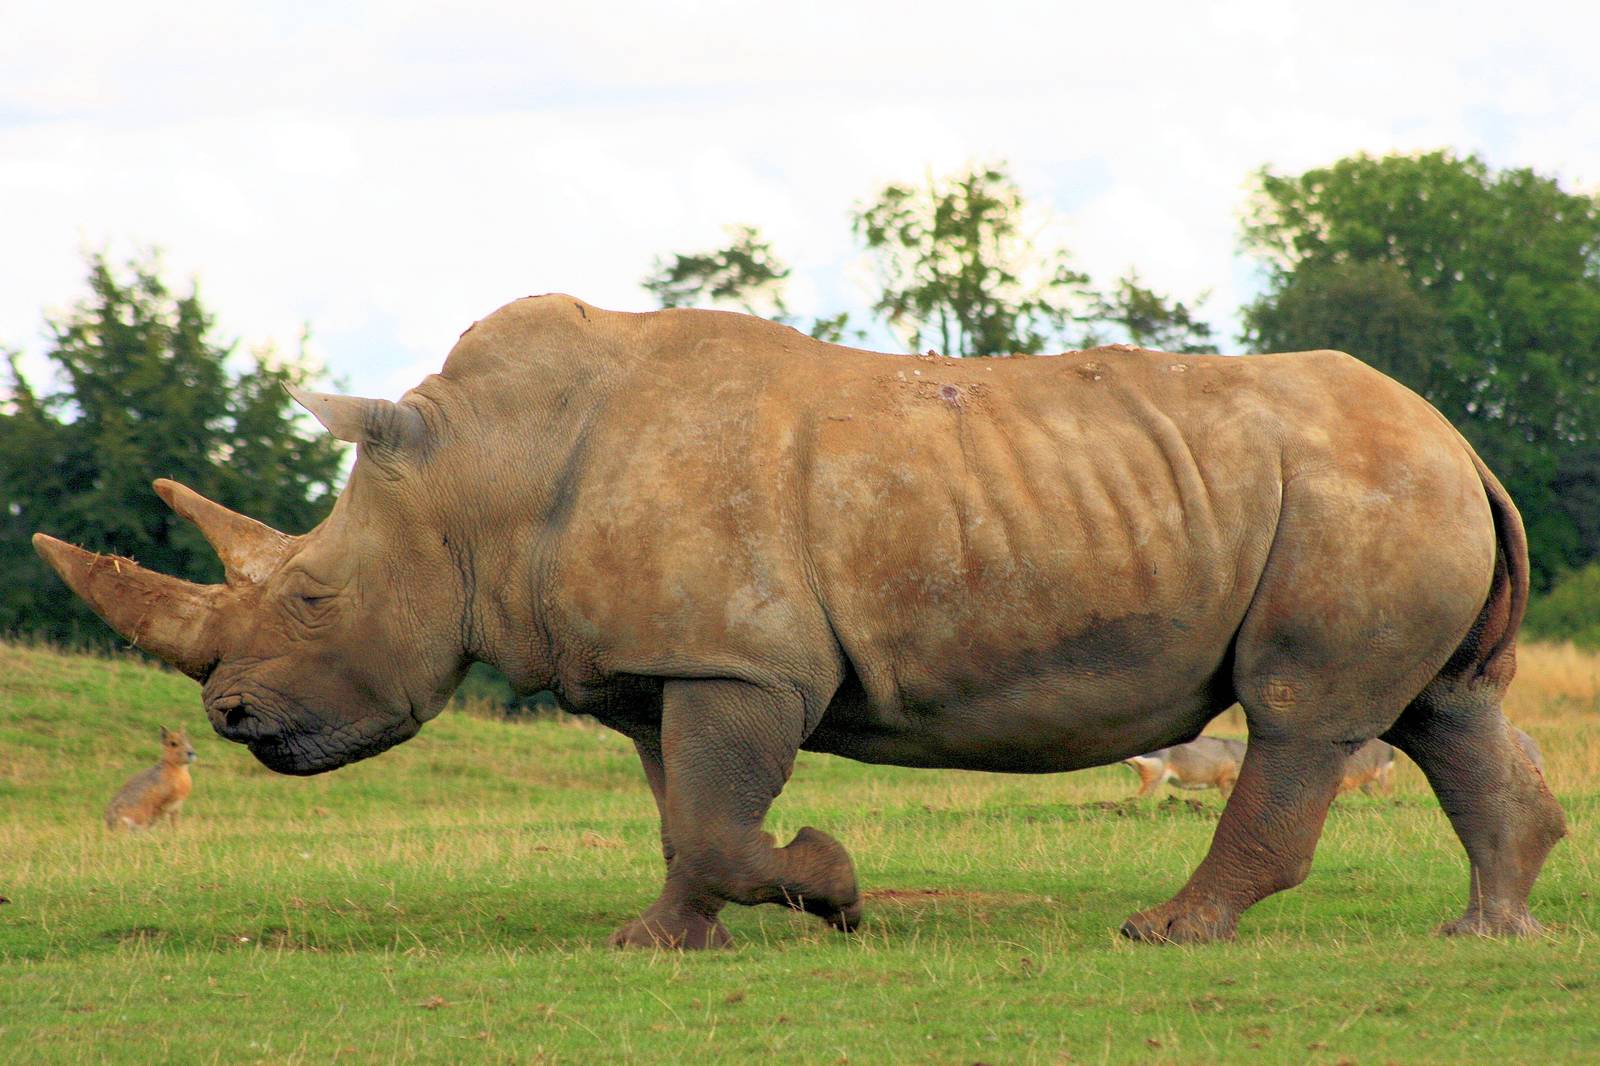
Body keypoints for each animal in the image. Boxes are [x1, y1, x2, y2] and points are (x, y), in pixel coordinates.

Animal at [34, 295, 1566, 948]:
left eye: (309, 594)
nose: (230, 716)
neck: (482, 470)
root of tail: (1461, 439)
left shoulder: (739, 658)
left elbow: (723, 819)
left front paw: (833, 888)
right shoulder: (663, 664)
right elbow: (682, 819)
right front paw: (660, 944)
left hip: (1360, 492)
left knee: (1309, 715)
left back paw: (1168, 932)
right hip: (1395, 490)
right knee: (1444, 710)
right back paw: (1486, 932)